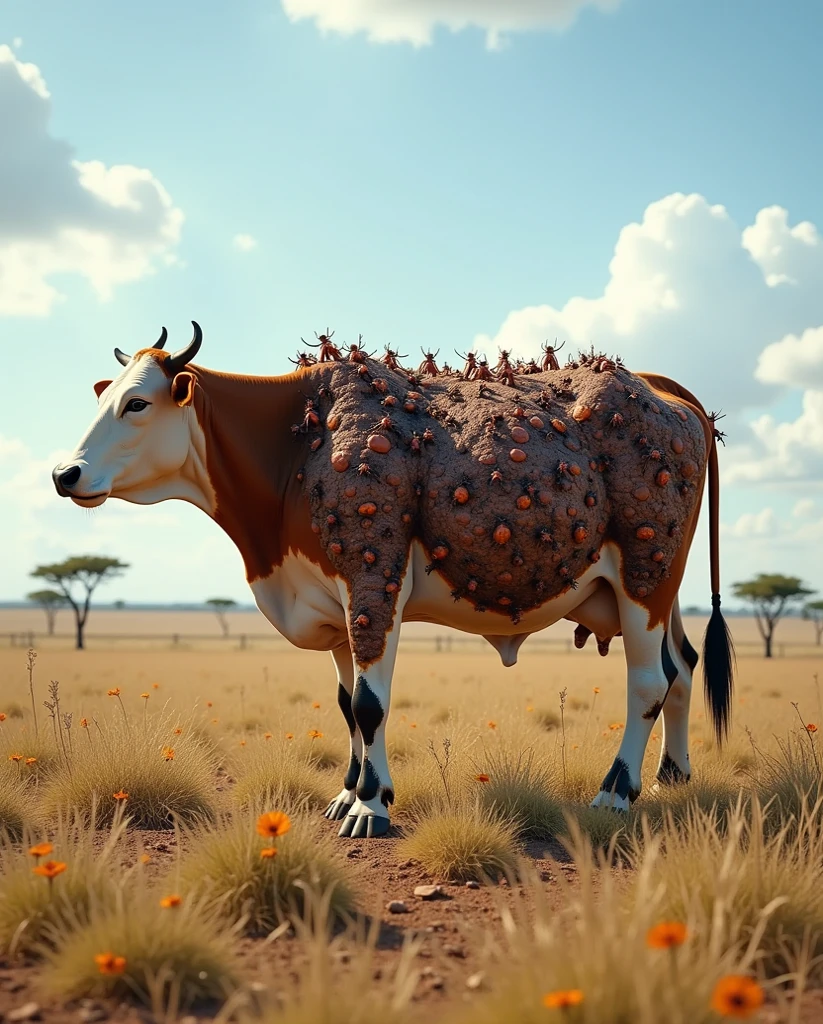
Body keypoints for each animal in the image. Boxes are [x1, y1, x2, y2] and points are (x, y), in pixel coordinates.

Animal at [53, 323, 734, 838]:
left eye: (137, 403)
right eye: (101, 399)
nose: (65, 474)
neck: (294, 447)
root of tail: (658, 388)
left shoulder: (372, 581)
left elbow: (371, 705)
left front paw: (370, 807)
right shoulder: (331, 606)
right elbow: (346, 705)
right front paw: (346, 794)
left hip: (646, 575)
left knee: (648, 681)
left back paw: (615, 792)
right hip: (657, 586)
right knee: (681, 666)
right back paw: (672, 776)